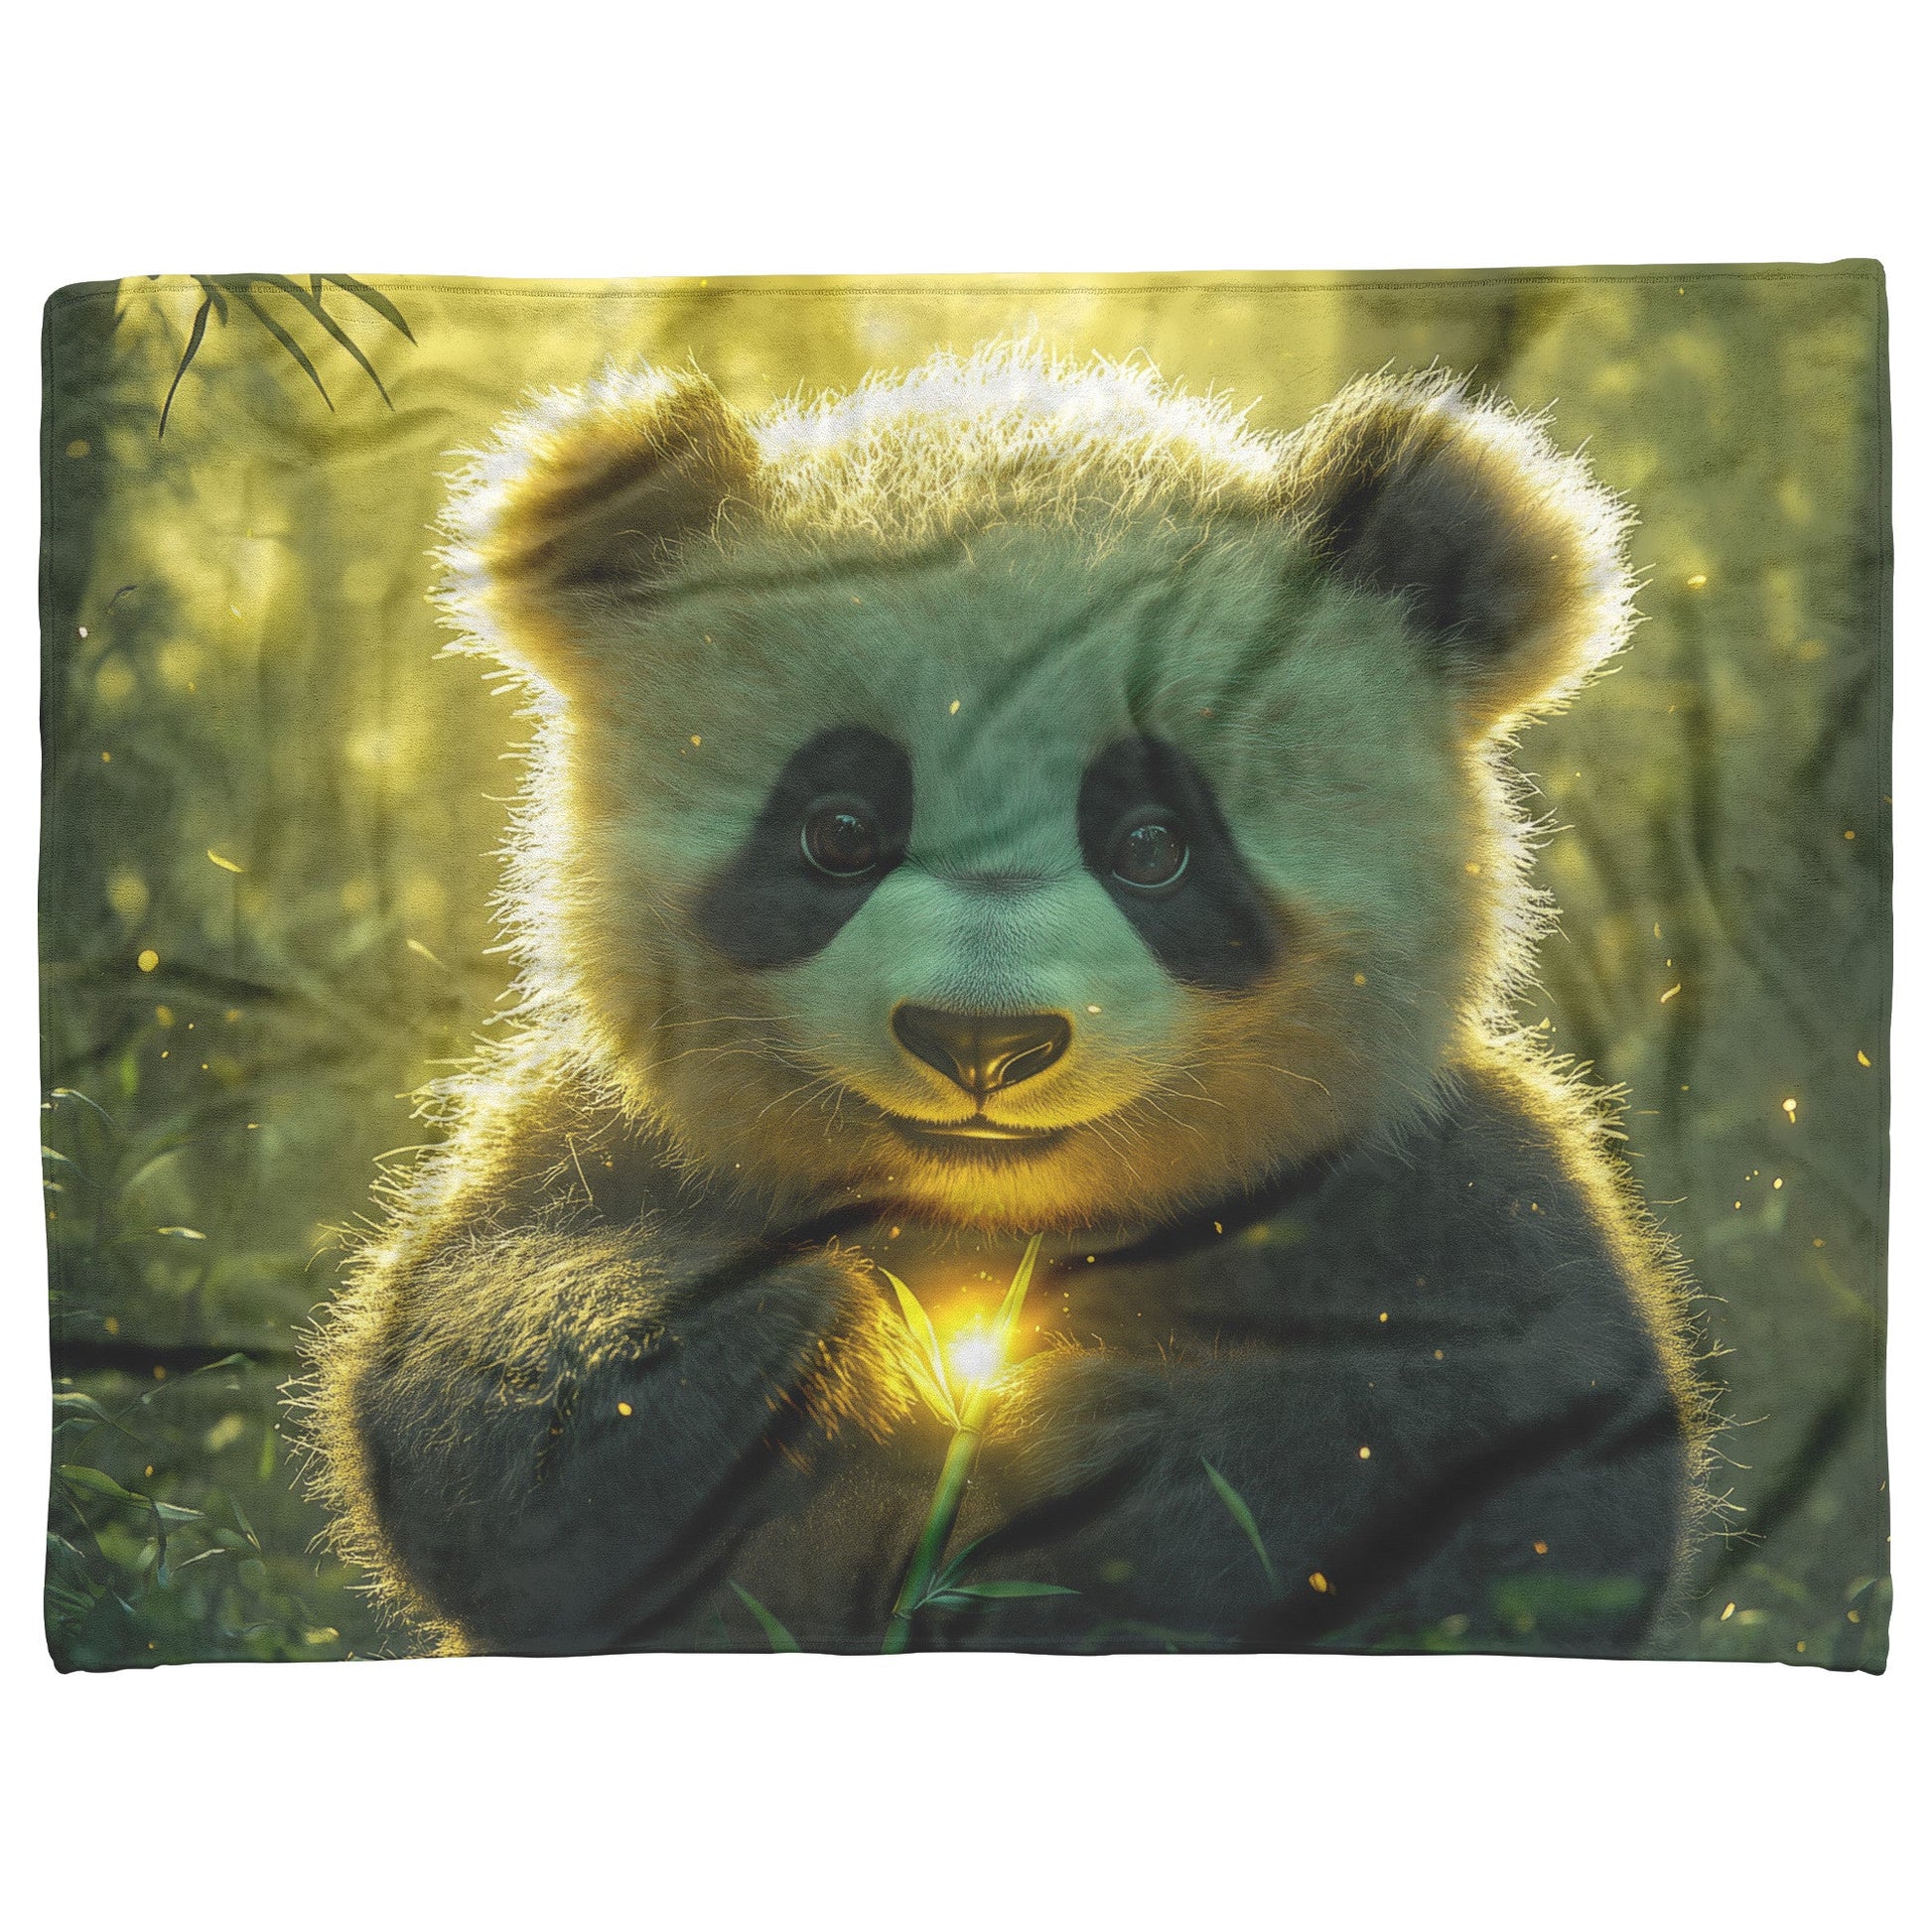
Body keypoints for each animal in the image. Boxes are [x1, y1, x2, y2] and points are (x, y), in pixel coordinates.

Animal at [304, 342, 1709, 1658]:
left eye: (1152, 843)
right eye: (839, 829)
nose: (980, 1039)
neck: (992, 1218)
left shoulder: (1418, 1173)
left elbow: (1529, 1468)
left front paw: (1076, 1443)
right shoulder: (614, 1141)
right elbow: (468, 1397)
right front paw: (819, 1347)